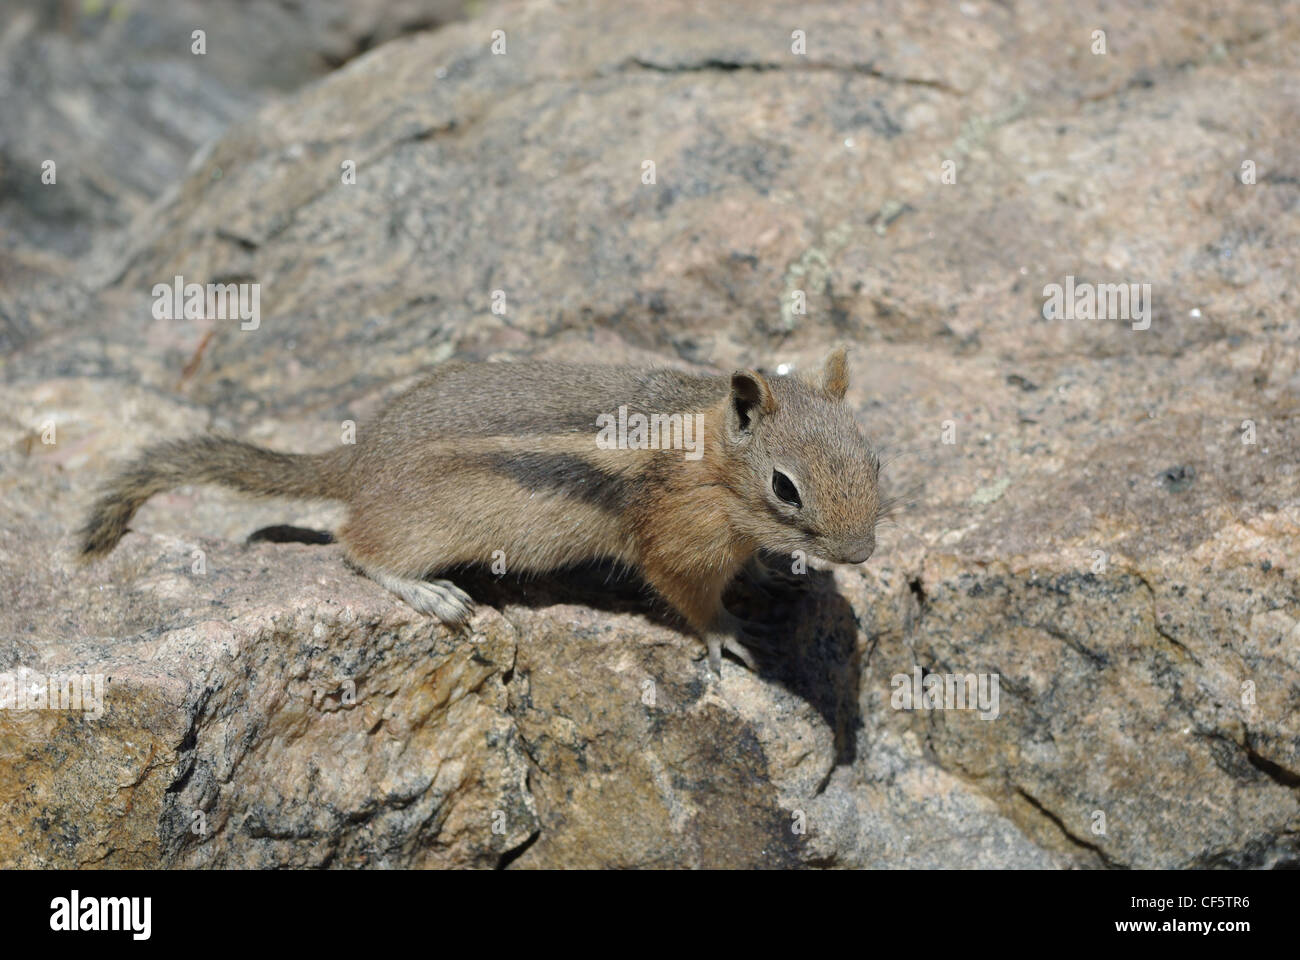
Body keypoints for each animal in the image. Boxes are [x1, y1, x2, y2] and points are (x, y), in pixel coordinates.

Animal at [78, 347, 882, 672]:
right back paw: (430, 592)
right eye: (785, 486)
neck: (712, 463)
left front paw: (774, 573)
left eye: (873, 458)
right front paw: (727, 633)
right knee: (356, 545)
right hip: (423, 524)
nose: (862, 555)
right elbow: (689, 596)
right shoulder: (674, 541)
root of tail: (360, 455)